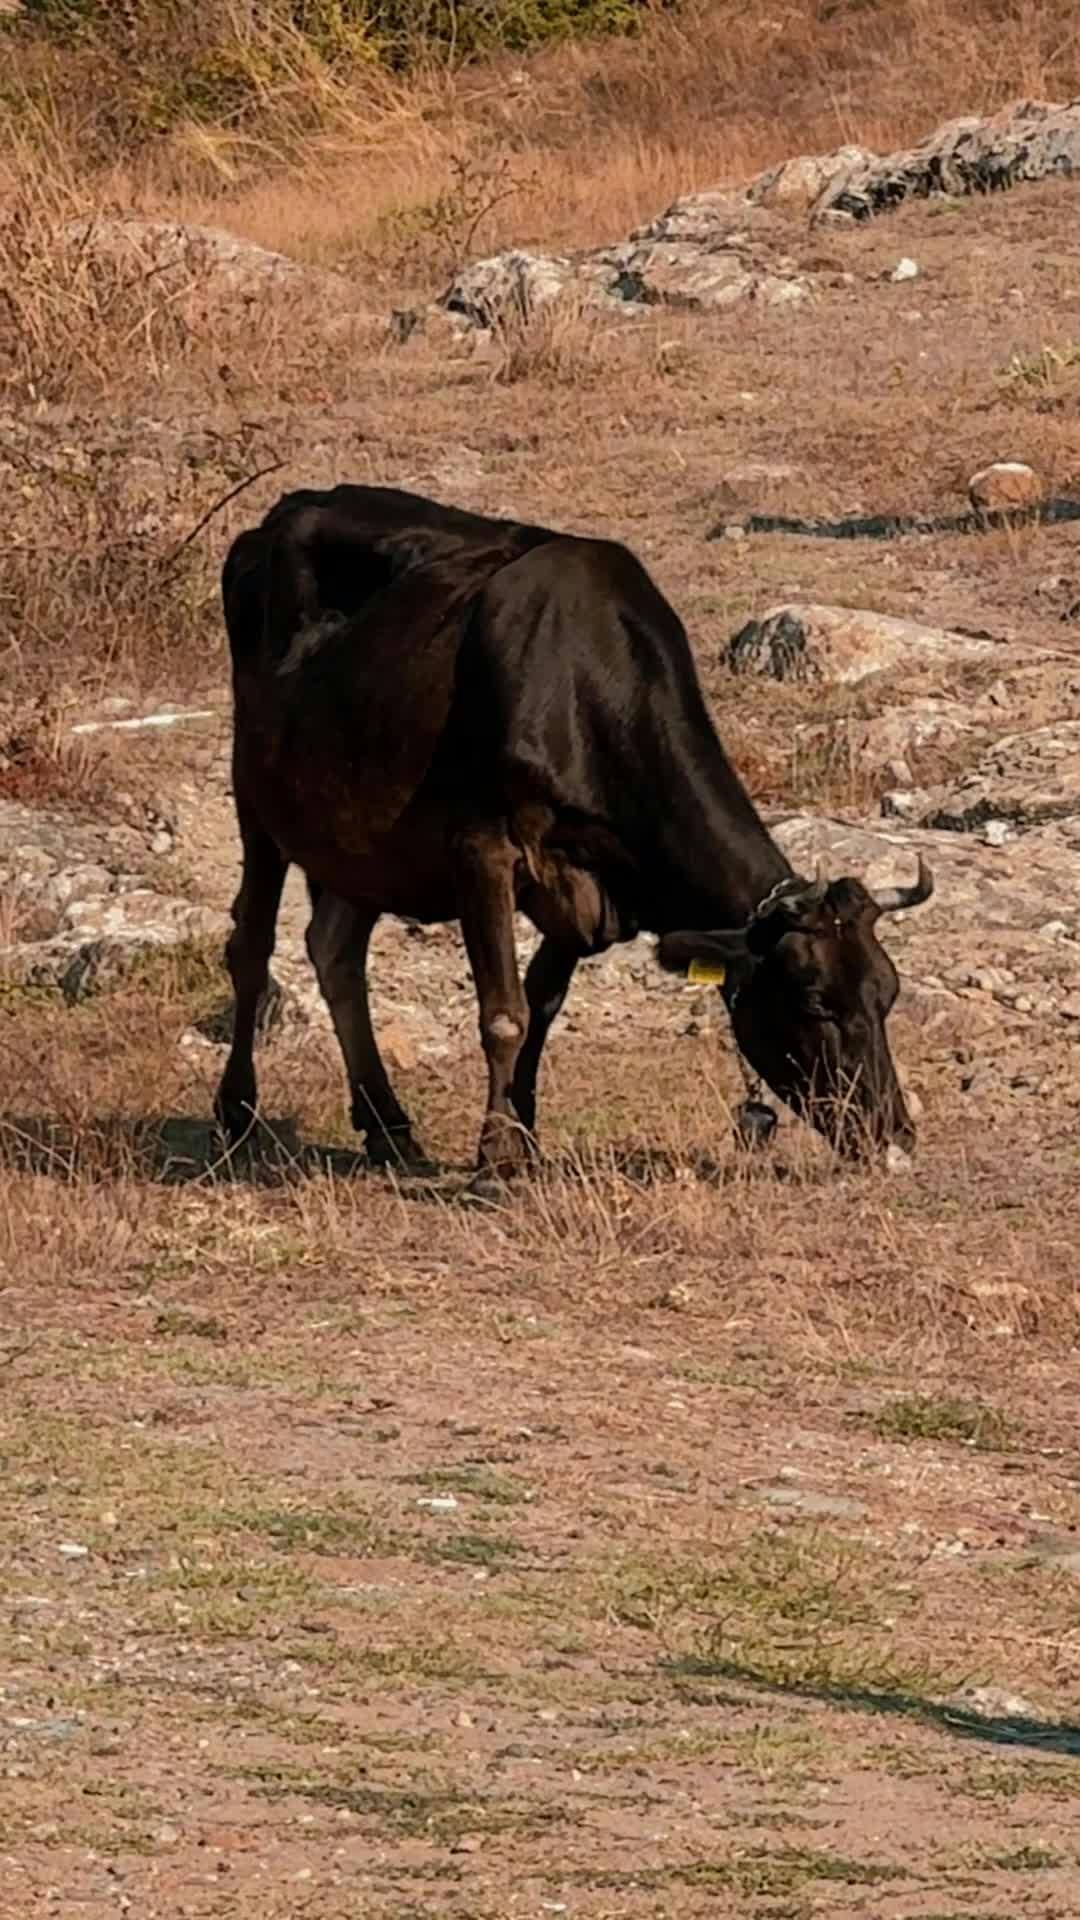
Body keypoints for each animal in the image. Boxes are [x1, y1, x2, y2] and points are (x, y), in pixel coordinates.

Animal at [216, 484, 932, 1180]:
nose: (894, 1137)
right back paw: (238, 1112)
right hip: (255, 793)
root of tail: (276, 516)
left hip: (355, 835)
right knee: (250, 946)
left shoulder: (585, 885)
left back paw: (388, 1127)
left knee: (335, 949)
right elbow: (505, 1013)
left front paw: (520, 1137)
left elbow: (543, 1004)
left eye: (888, 992)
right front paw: (495, 1160)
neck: (578, 691)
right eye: (814, 1001)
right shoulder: (482, 850)